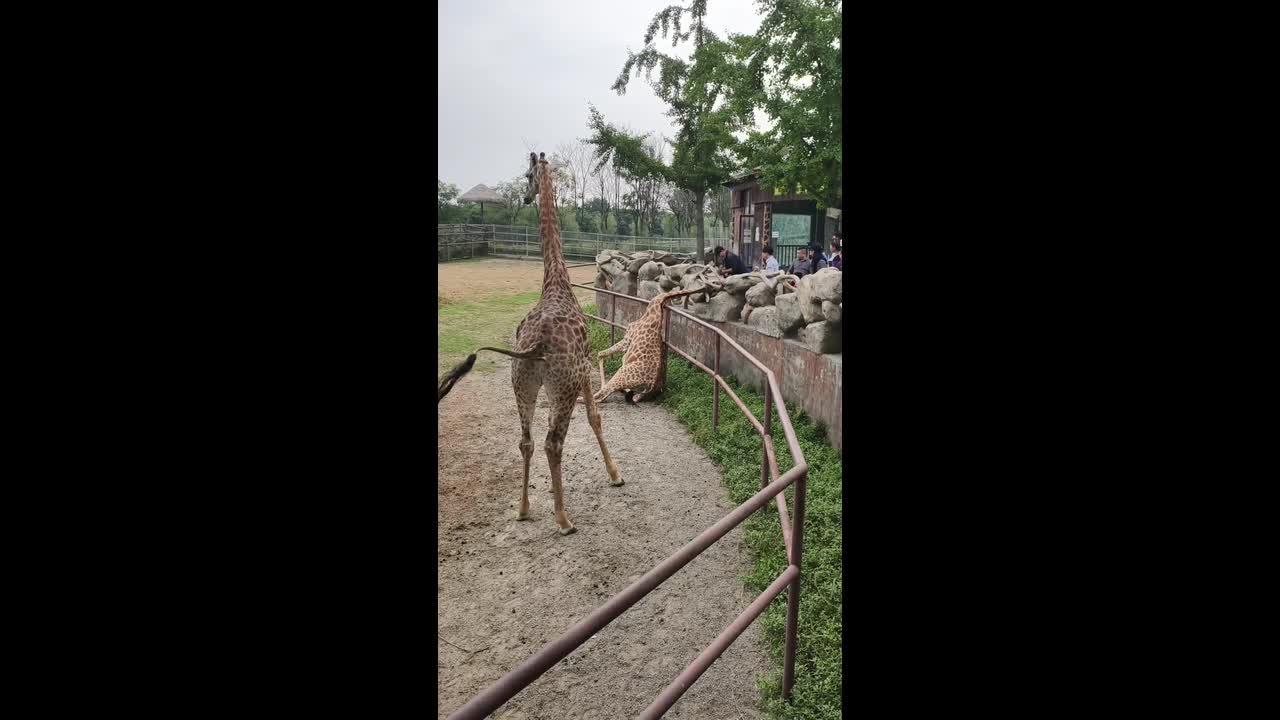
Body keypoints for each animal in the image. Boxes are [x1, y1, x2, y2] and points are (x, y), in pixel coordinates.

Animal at [437, 152, 622, 536]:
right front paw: (615, 475)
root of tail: (534, 346)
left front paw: (552, 490)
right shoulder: (583, 370)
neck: (556, 281)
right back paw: (564, 519)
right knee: (552, 442)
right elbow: (595, 417)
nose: (523, 196)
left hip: (522, 383)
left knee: (526, 440)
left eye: (527, 175)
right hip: (560, 385)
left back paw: (524, 509)